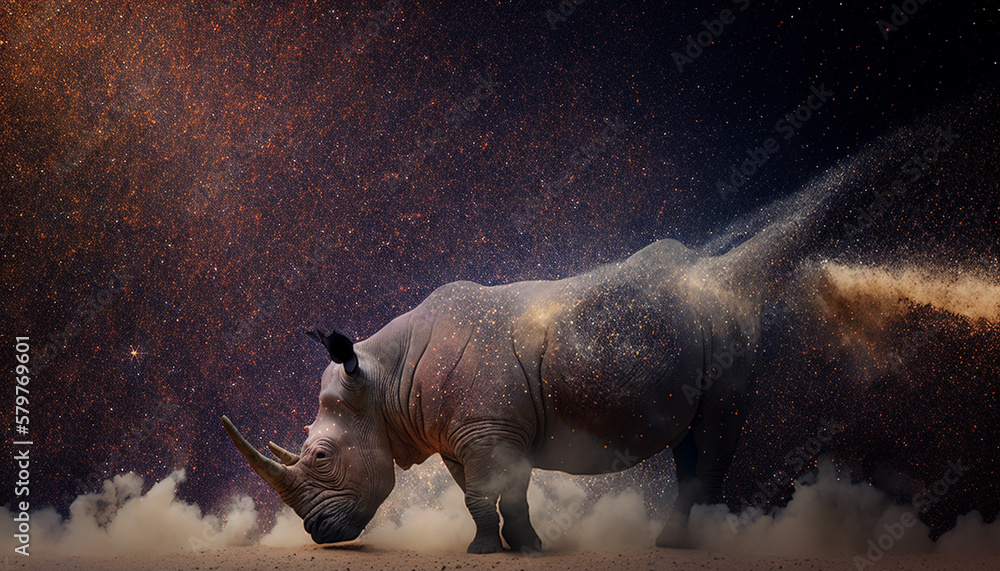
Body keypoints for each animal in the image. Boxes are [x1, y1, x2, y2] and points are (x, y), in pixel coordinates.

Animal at [222, 188, 833, 552]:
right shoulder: (465, 433)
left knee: (715, 429)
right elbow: (484, 494)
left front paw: (500, 551)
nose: (317, 534)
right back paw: (680, 538)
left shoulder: (490, 429)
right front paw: (509, 547)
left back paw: (675, 545)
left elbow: (493, 491)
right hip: (692, 332)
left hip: (724, 328)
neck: (383, 380)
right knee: (688, 435)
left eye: (321, 456)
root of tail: (720, 277)